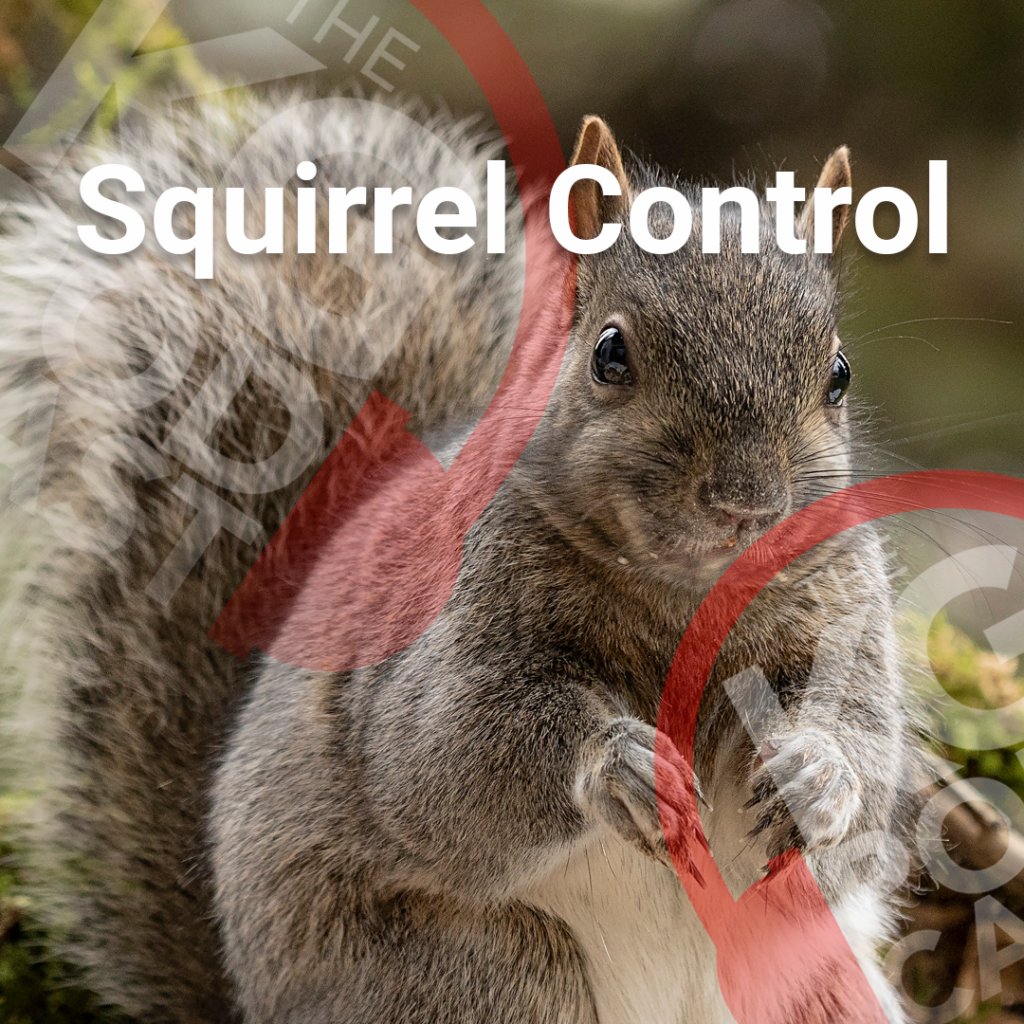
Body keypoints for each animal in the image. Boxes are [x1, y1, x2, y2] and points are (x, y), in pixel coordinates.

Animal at [0, 90, 919, 1024]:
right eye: (609, 353)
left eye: (838, 374)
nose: (746, 505)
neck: (682, 593)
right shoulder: (449, 636)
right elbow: (446, 750)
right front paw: (617, 763)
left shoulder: (846, 625)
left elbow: (870, 763)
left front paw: (820, 776)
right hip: (478, 975)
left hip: (813, 984)